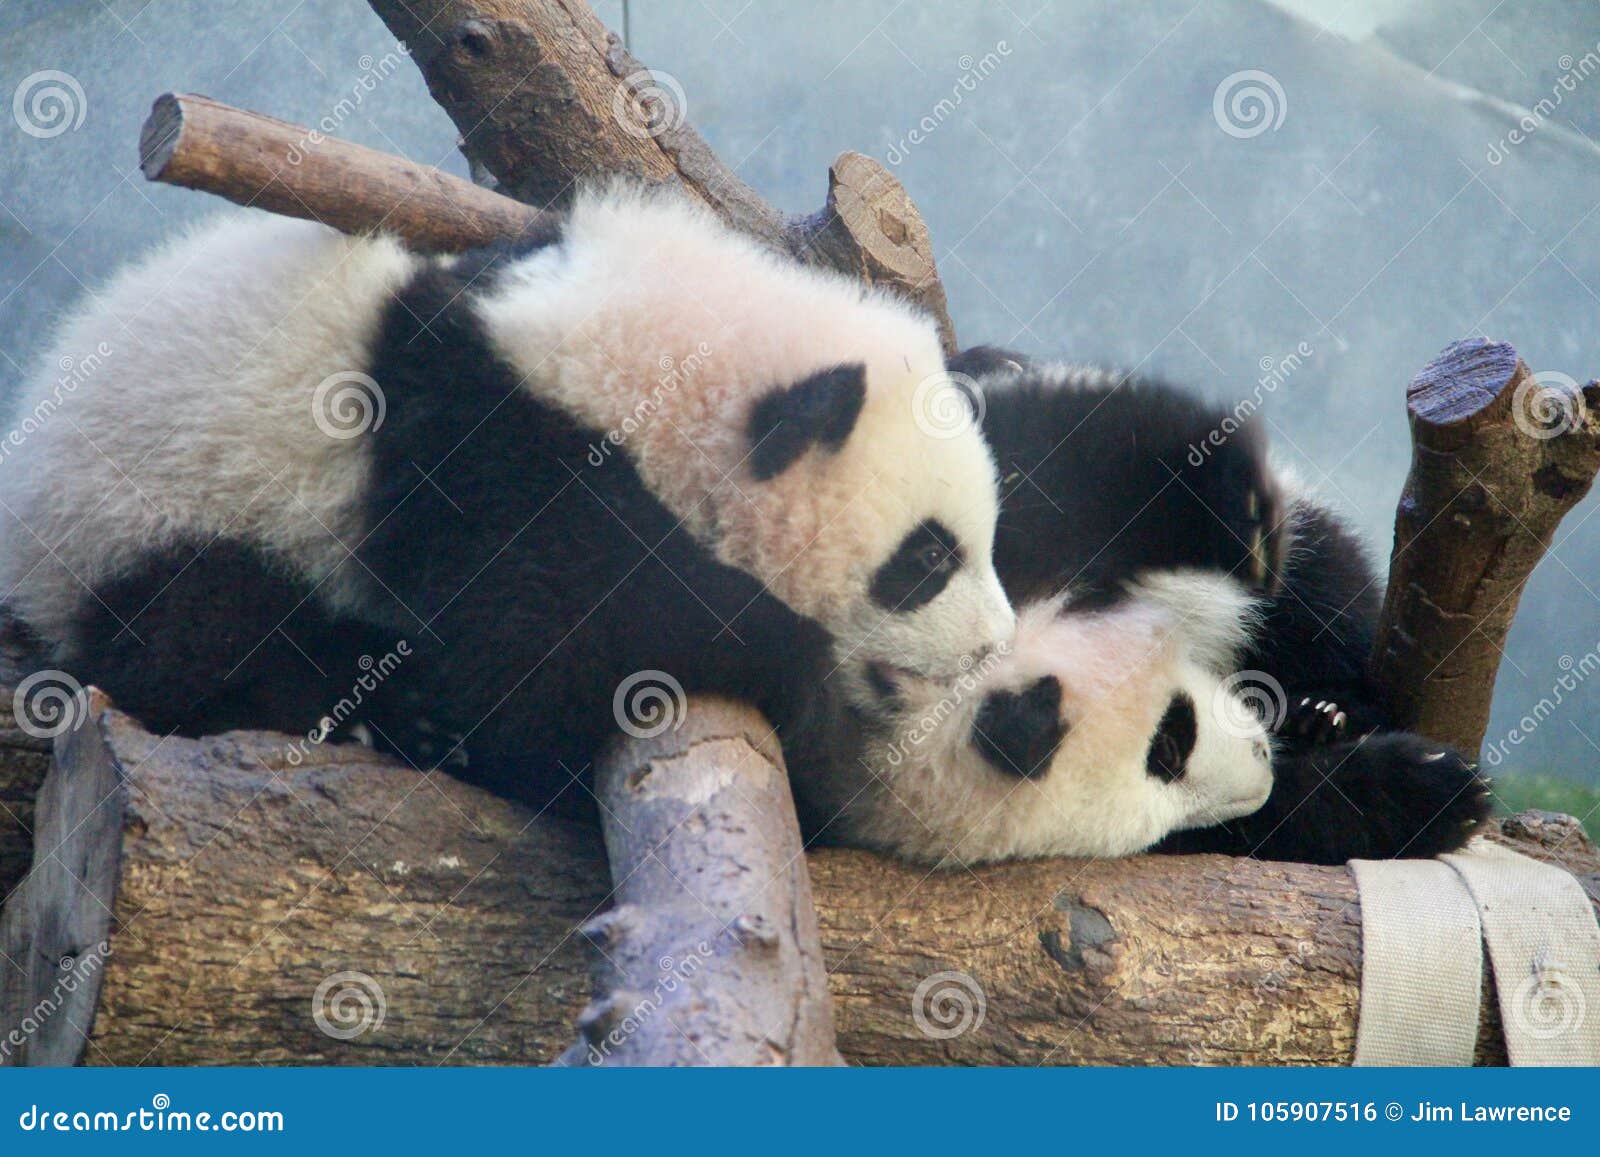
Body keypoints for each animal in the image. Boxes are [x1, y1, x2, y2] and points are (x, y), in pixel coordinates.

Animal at [0, 185, 1015, 807]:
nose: (991, 645)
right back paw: (376, 712)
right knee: (200, 628)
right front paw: (774, 650)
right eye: (927, 558)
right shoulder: (495, 469)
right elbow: (535, 686)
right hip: (147, 519)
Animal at [794, 349, 1493, 866]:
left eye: (1173, 730)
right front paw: (1427, 792)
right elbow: (1264, 822)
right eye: (1169, 753)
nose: (1259, 752)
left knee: (1319, 591)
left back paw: (1329, 701)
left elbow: (1062, 448)